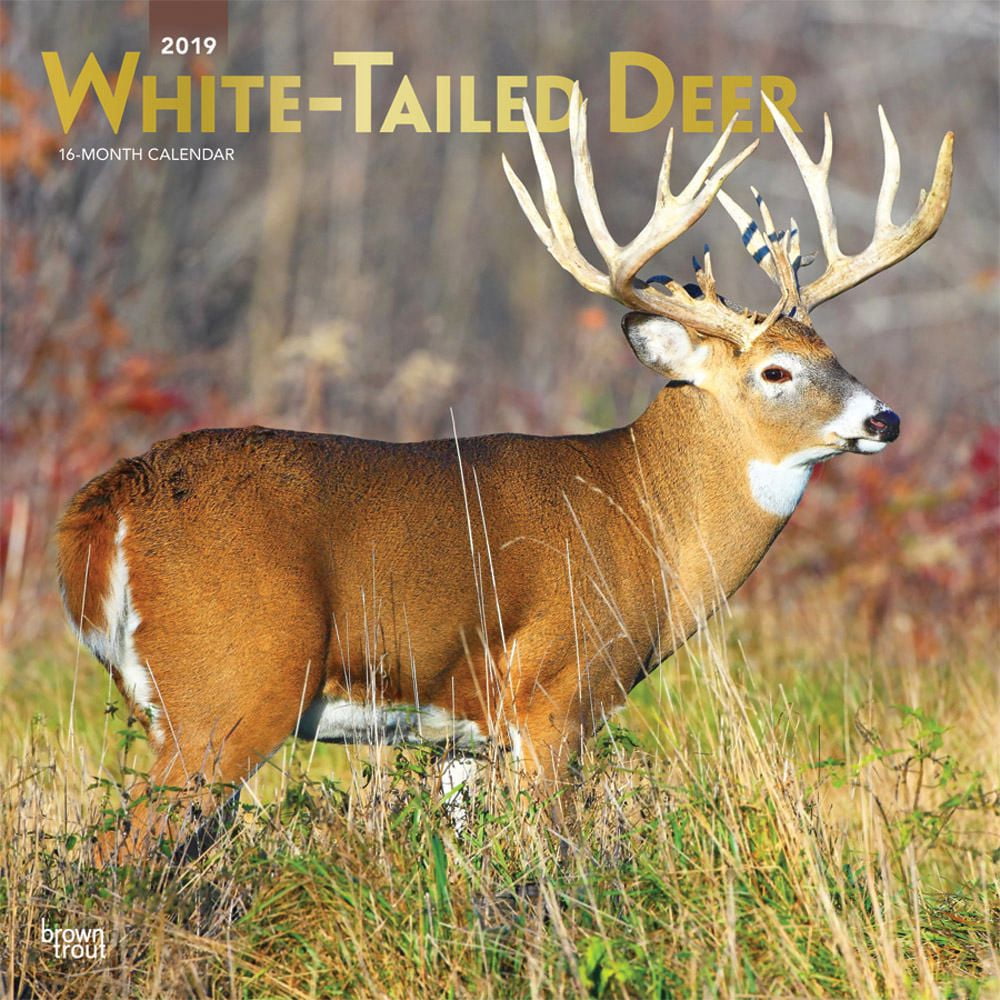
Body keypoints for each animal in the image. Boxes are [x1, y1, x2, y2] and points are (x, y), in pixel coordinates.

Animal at [57, 85, 953, 864]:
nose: (885, 419)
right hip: (231, 684)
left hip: (169, 701)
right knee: (116, 850)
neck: (646, 514)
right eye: (775, 371)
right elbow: (555, 854)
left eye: (833, 353)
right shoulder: (559, 689)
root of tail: (112, 503)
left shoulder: (467, 725)